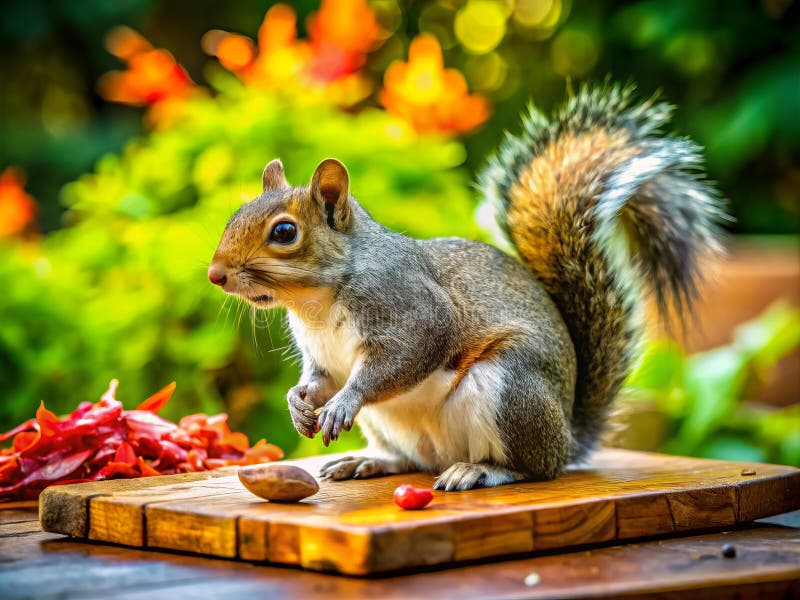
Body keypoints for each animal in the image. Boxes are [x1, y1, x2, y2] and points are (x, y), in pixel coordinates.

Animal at [208, 84, 726, 491]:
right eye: (234, 215)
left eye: (284, 232)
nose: (216, 275)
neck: (316, 302)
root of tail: (567, 437)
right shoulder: (323, 356)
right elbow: (320, 381)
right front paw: (298, 404)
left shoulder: (413, 310)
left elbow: (399, 360)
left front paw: (342, 404)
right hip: (395, 426)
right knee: (410, 460)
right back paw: (371, 461)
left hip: (510, 389)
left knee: (532, 467)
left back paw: (482, 470)